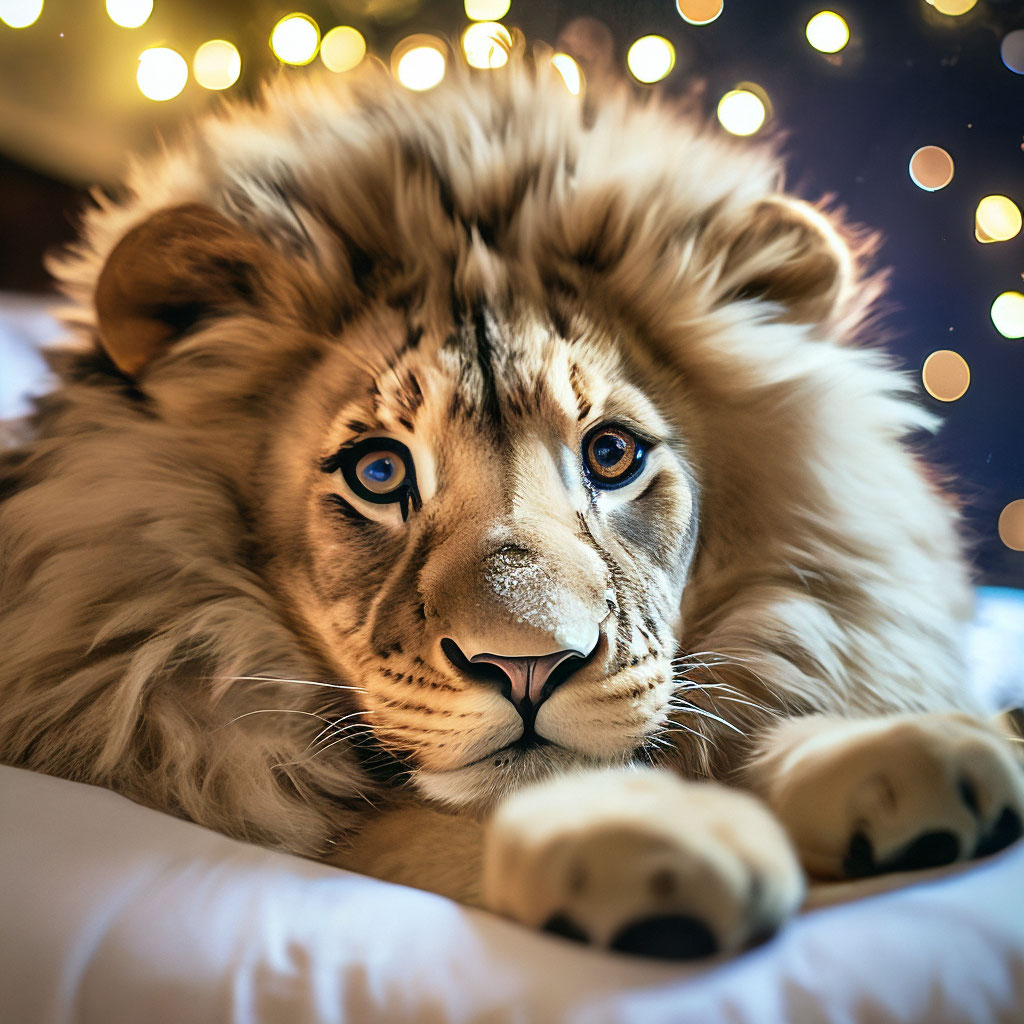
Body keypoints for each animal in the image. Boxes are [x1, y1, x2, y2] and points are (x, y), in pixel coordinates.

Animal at [0, 61, 1021, 961]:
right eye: (379, 473)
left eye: (611, 455)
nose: (528, 669)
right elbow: (414, 826)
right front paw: (654, 834)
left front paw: (904, 753)